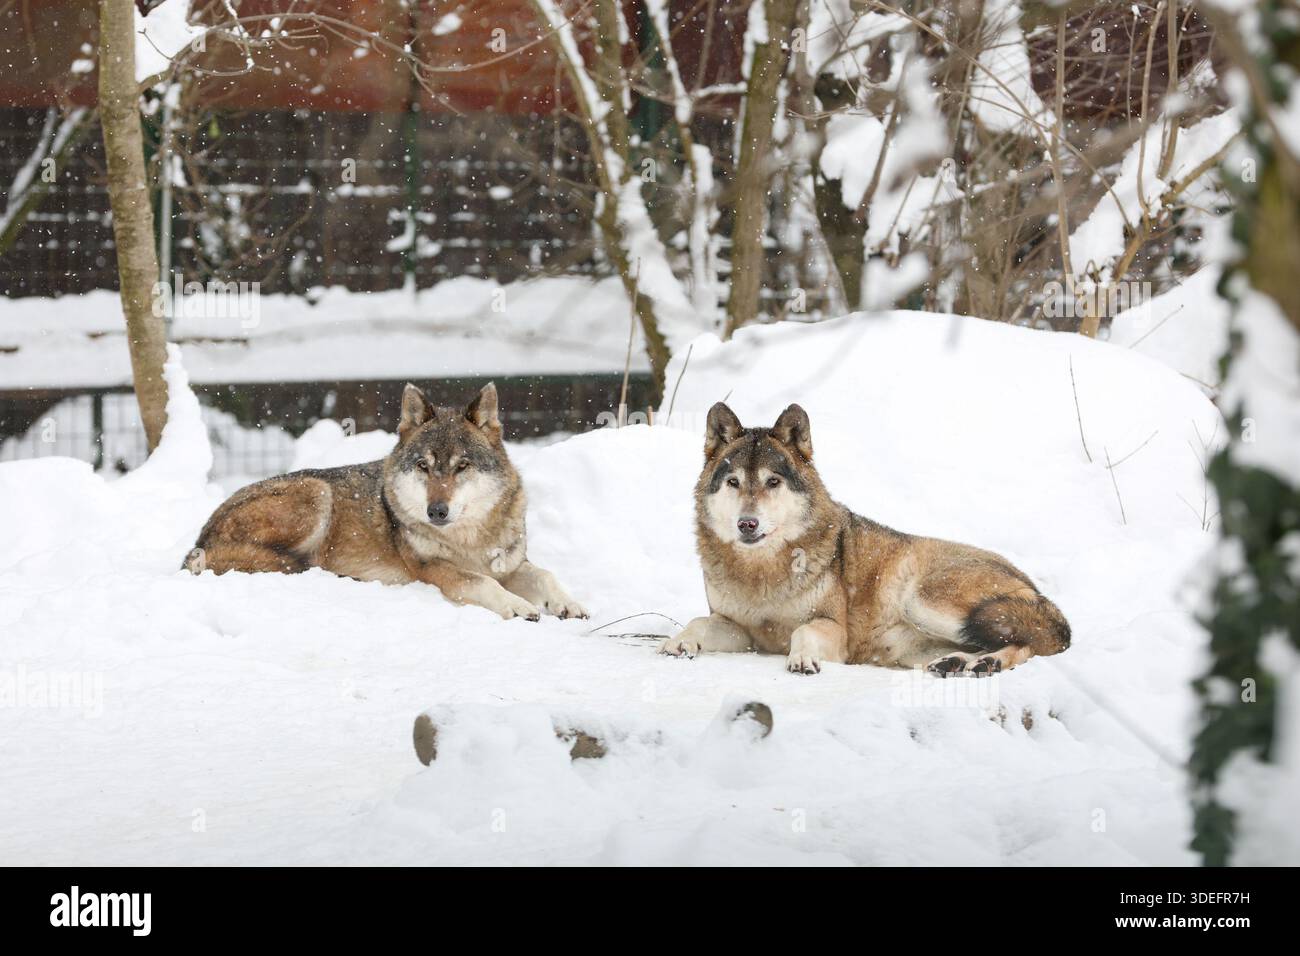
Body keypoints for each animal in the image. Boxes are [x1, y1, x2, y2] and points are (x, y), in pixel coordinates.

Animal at [183, 383, 587, 621]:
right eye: (424, 466)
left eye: (462, 466)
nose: (436, 511)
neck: (469, 539)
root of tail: (200, 539)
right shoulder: (433, 569)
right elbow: (484, 584)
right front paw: (517, 606)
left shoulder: (511, 563)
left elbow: (545, 575)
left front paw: (569, 603)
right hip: (317, 493)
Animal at [660, 403, 1070, 675]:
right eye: (734, 482)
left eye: (772, 482)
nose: (747, 523)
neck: (762, 572)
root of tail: (1035, 588)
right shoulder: (741, 630)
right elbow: (698, 621)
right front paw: (679, 641)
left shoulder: (833, 628)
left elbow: (803, 632)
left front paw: (802, 658)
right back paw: (959, 662)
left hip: (926, 602)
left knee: (1040, 643)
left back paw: (988, 662)